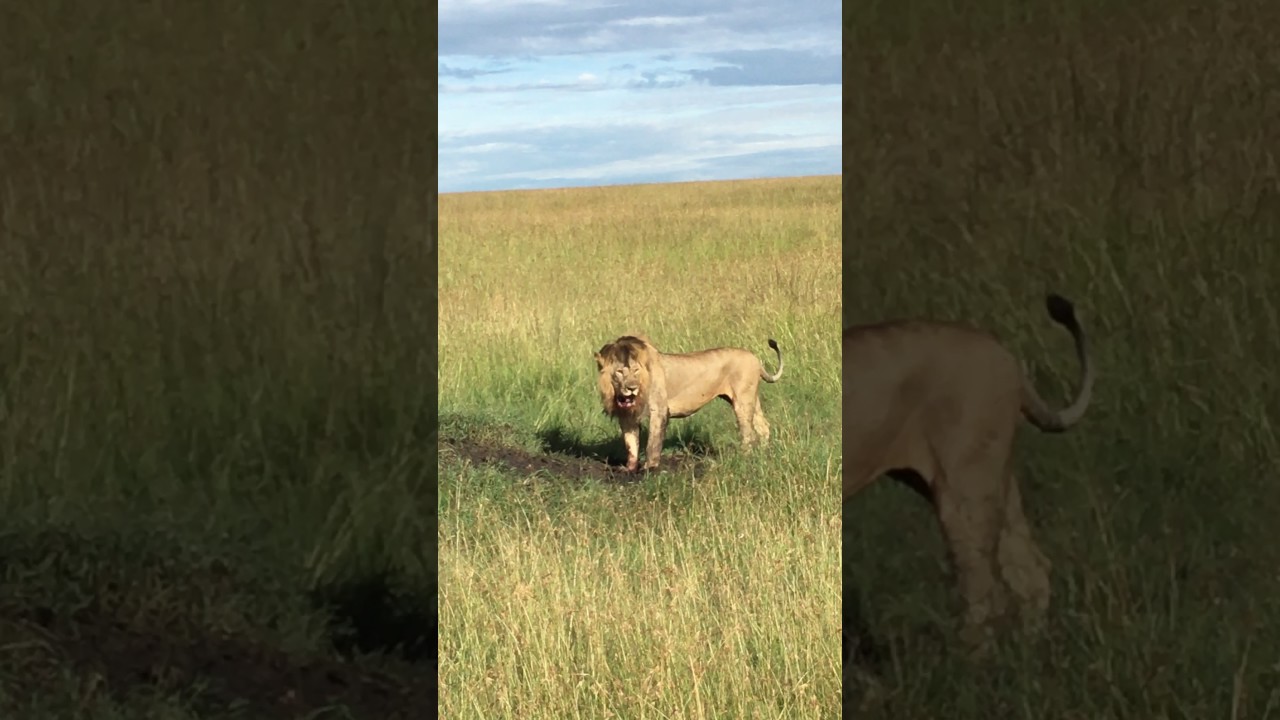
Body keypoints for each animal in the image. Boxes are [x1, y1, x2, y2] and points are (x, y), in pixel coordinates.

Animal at [595, 334, 784, 472]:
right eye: (619, 372)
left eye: (635, 370)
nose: (632, 388)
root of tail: (755, 358)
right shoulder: (627, 415)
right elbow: (630, 442)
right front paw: (629, 469)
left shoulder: (659, 409)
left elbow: (652, 442)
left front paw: (650, 468)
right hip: (751, 399)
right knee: (763, 426)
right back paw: (764, 454)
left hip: (742, 401)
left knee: (748, 433)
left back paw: (744, 458)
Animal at [843, 293, 1094, 648]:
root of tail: (1006, 356)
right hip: (992, 475)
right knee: (1030, 570)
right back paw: (1030, 648)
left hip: (964, 483)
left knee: (984, 589)